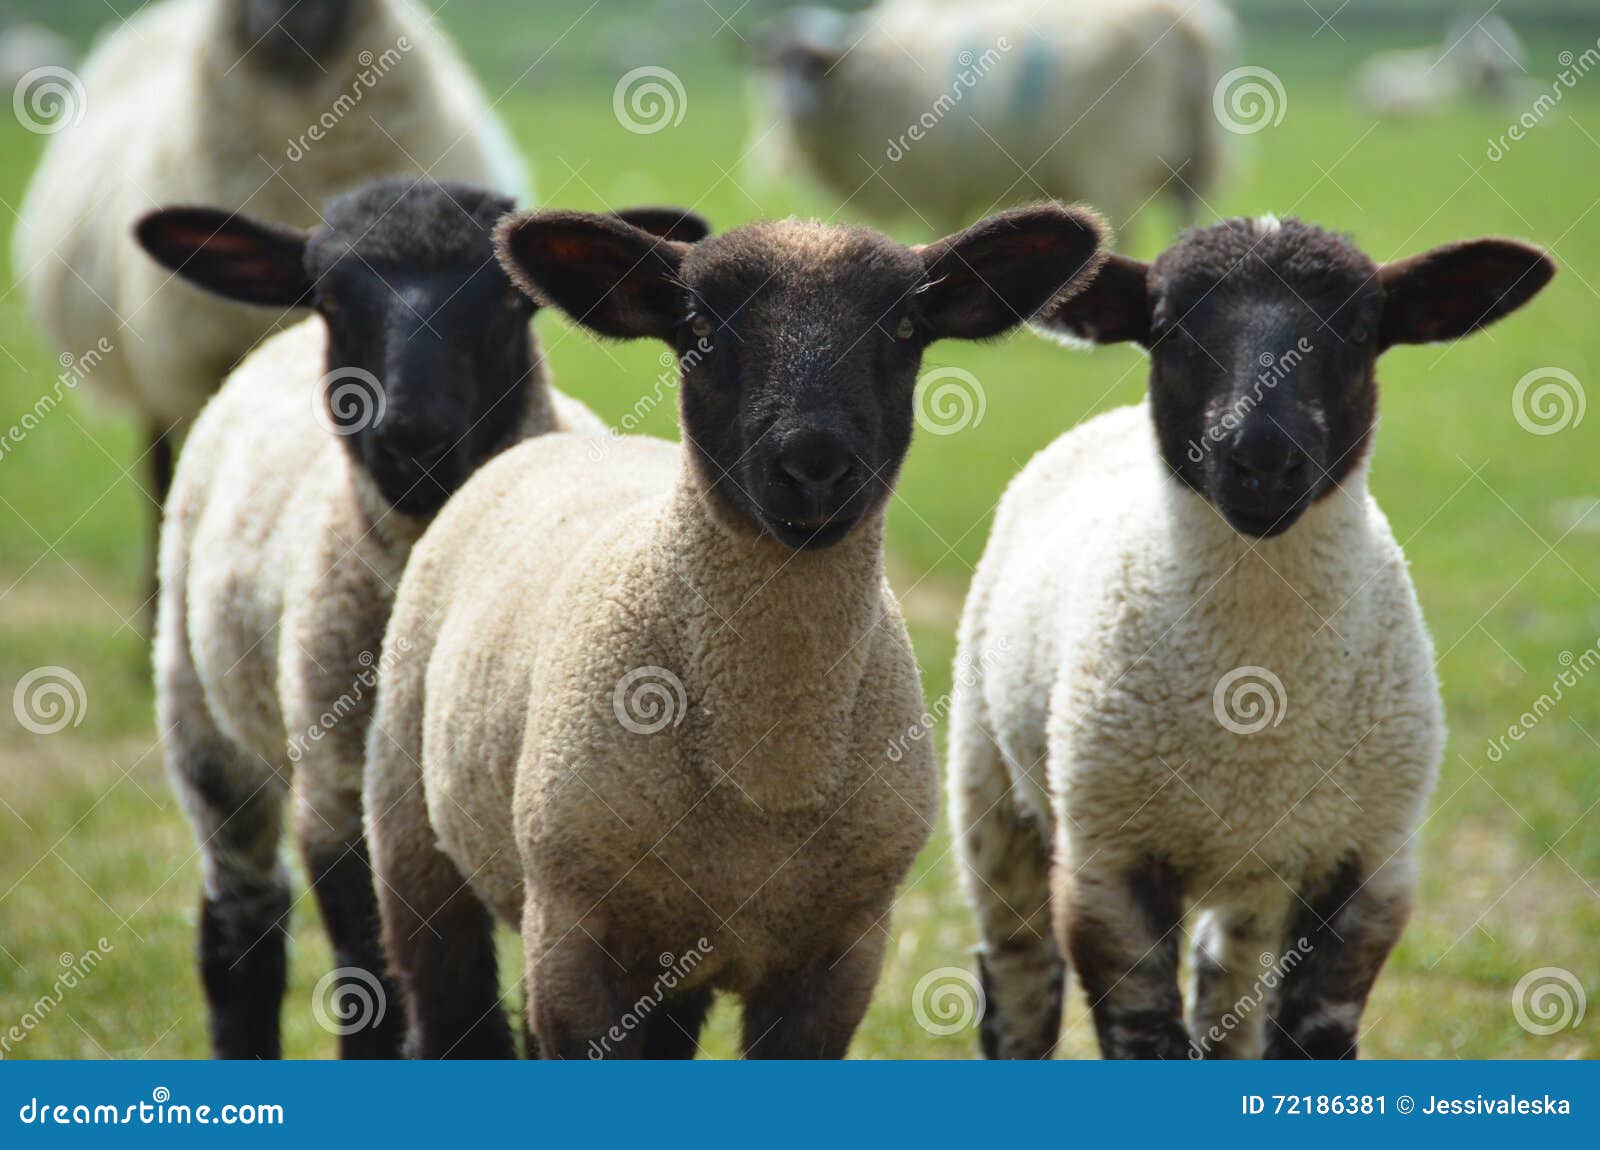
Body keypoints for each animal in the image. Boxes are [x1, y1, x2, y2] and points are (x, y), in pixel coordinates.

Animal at [137, 177, 709, 1059]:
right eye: (332, 297)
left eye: (510, 300)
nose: (413, 438)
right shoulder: (341, 797)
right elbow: (379, 996)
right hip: (202, 715)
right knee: (241, 926)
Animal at [363, 203, 1108, 1058]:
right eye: (699, 325)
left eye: (906, 326)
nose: (814, 465)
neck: (763, 780)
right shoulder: (570, 935)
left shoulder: (841, 956)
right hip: (412, 831)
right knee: (445, 1002)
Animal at [746, 0, 1235, 233]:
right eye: (771, 65)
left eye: (817, 66)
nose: (793, 107)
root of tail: (1186, 27)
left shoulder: (937, 181)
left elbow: (942, 229)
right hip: (1193, 153)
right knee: (1185, 214)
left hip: (1110, 159)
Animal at [950, 216, 1554, 1060]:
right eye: (1166, 326)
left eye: (1361, 329)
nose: (1263, 460)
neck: (1259, 704)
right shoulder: (1108, 866)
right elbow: (1144, 1039)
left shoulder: (1367, 866)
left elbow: (1311, 1042)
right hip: (990, 788)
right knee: (1017, 978)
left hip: (1263, 869)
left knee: (1226, 985)